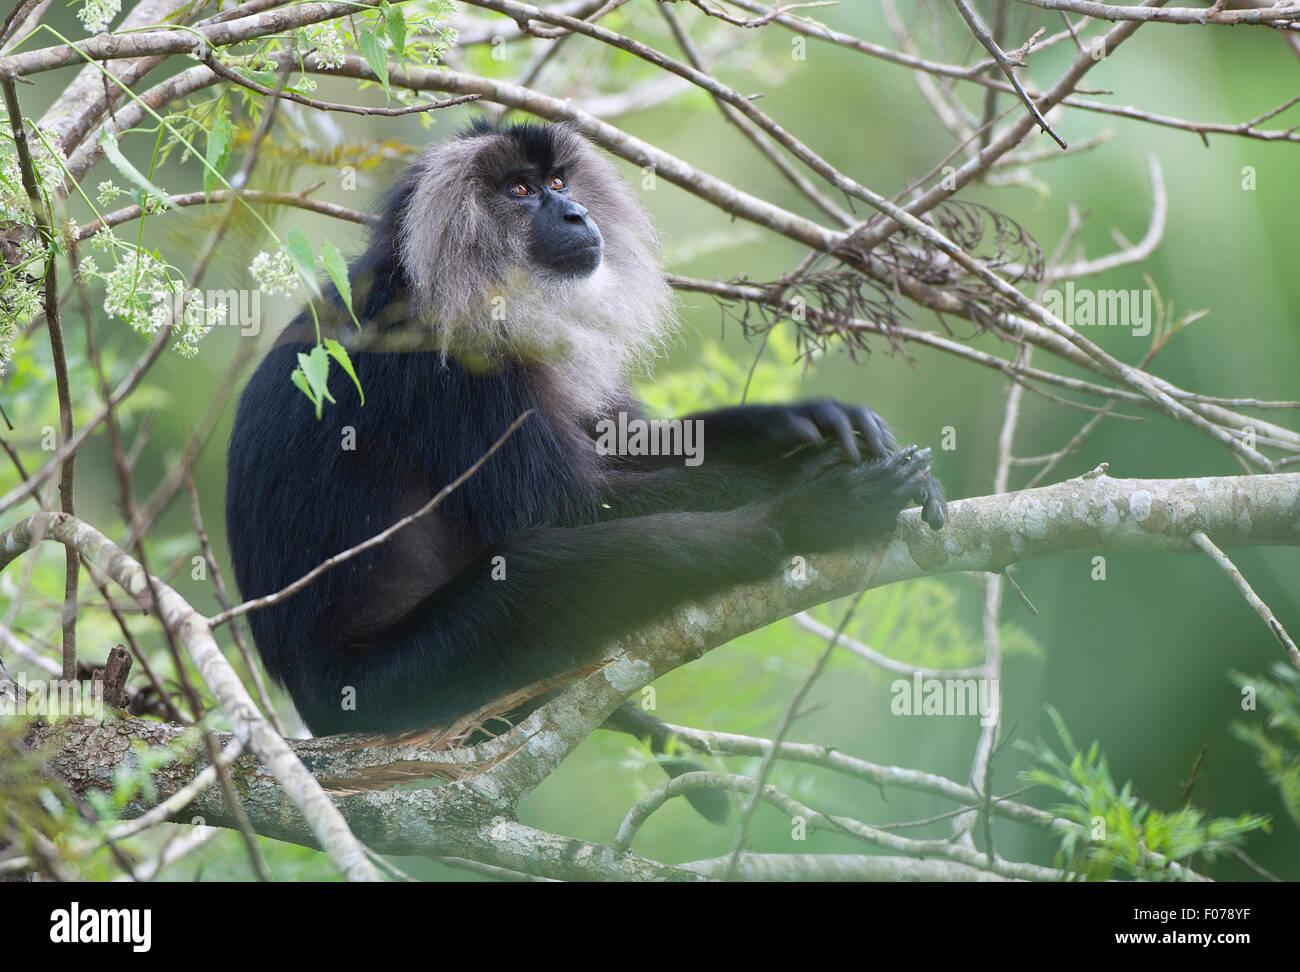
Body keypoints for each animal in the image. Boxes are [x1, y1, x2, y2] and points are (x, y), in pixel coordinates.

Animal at [225, 120, 946, 823]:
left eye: (559, 182)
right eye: (519, 190)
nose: (575, 213)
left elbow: (617, 446)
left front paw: (792, 423)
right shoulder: (446, 354)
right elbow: (558, 507)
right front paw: (806, 480)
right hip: (395, 684)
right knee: (546, 567)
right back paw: (802, 520)